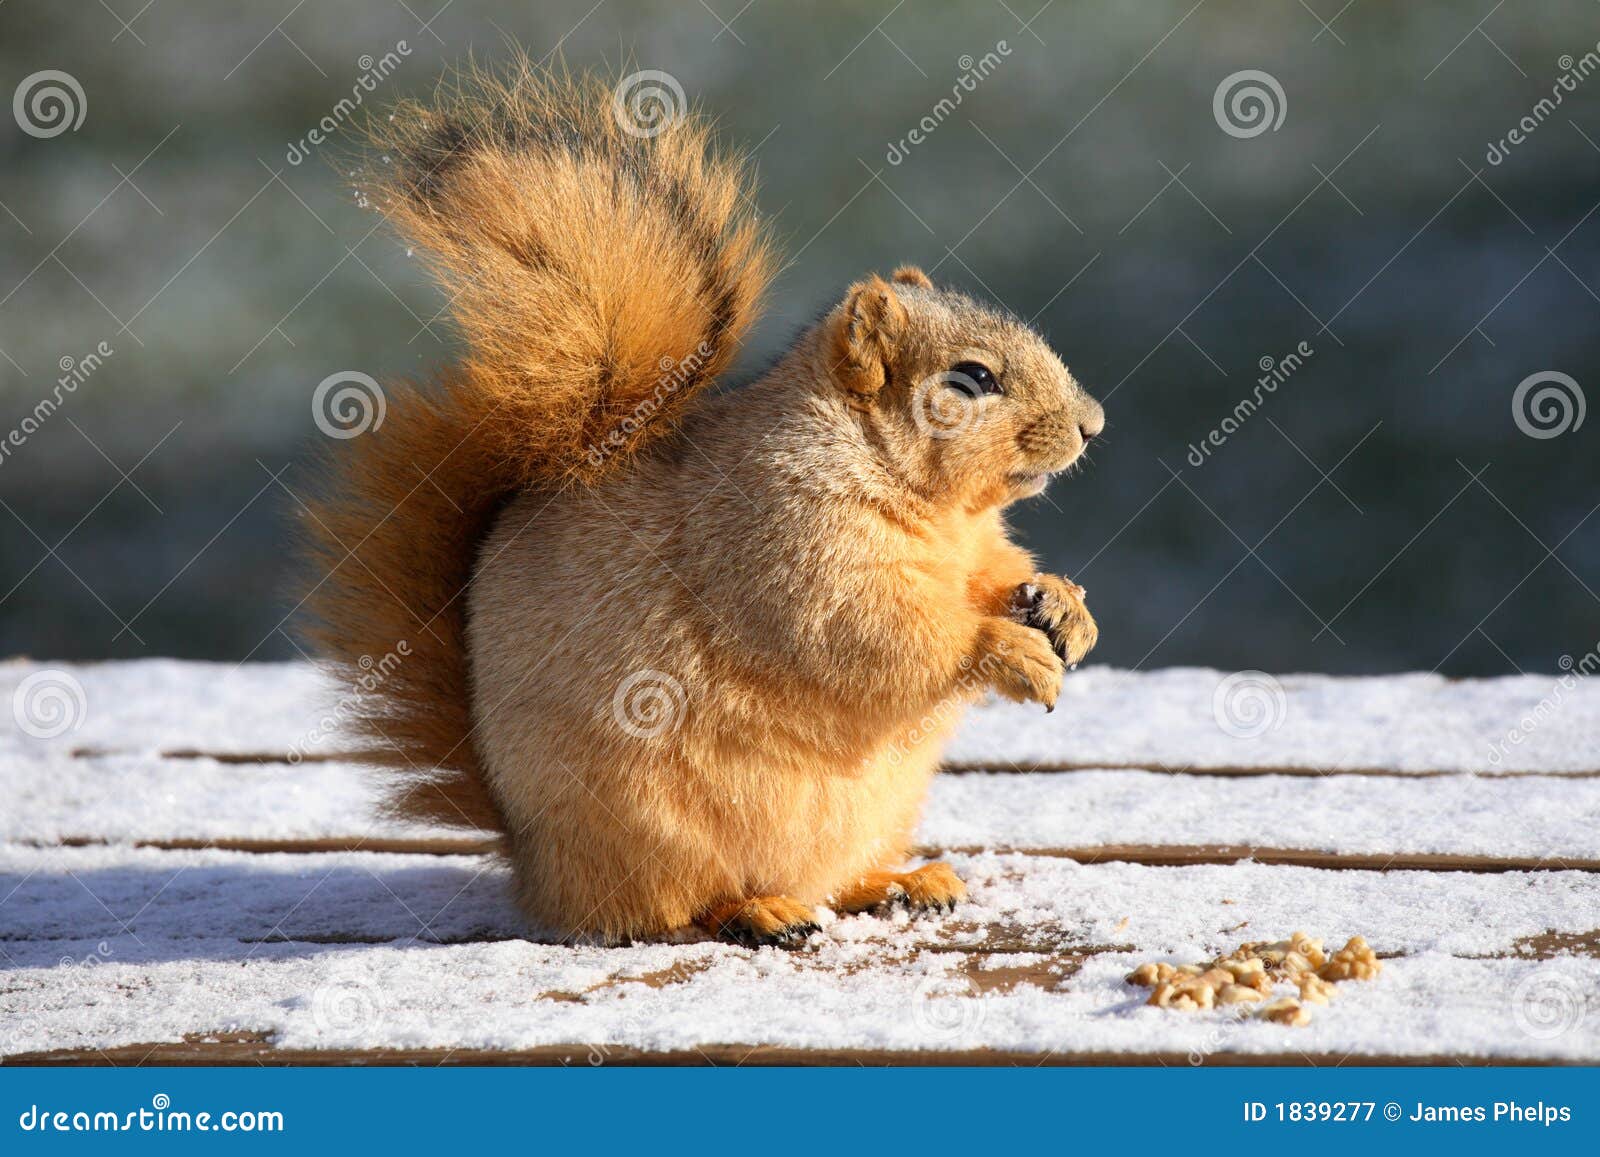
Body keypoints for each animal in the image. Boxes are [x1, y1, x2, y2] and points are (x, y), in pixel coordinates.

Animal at [300, 62, 1104, 947]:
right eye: (971, 379)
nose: (1093, 423)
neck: (936, 507)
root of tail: (534, 864)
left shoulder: (975, 549)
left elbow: (998, 575)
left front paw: (1064, 609)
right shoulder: (785, 544)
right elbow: (871, 634)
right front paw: (1007, 649)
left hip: (867, 817)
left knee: (834, 877)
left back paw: (902, 881)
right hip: (651, 831)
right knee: (675, 908)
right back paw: (758, 909)